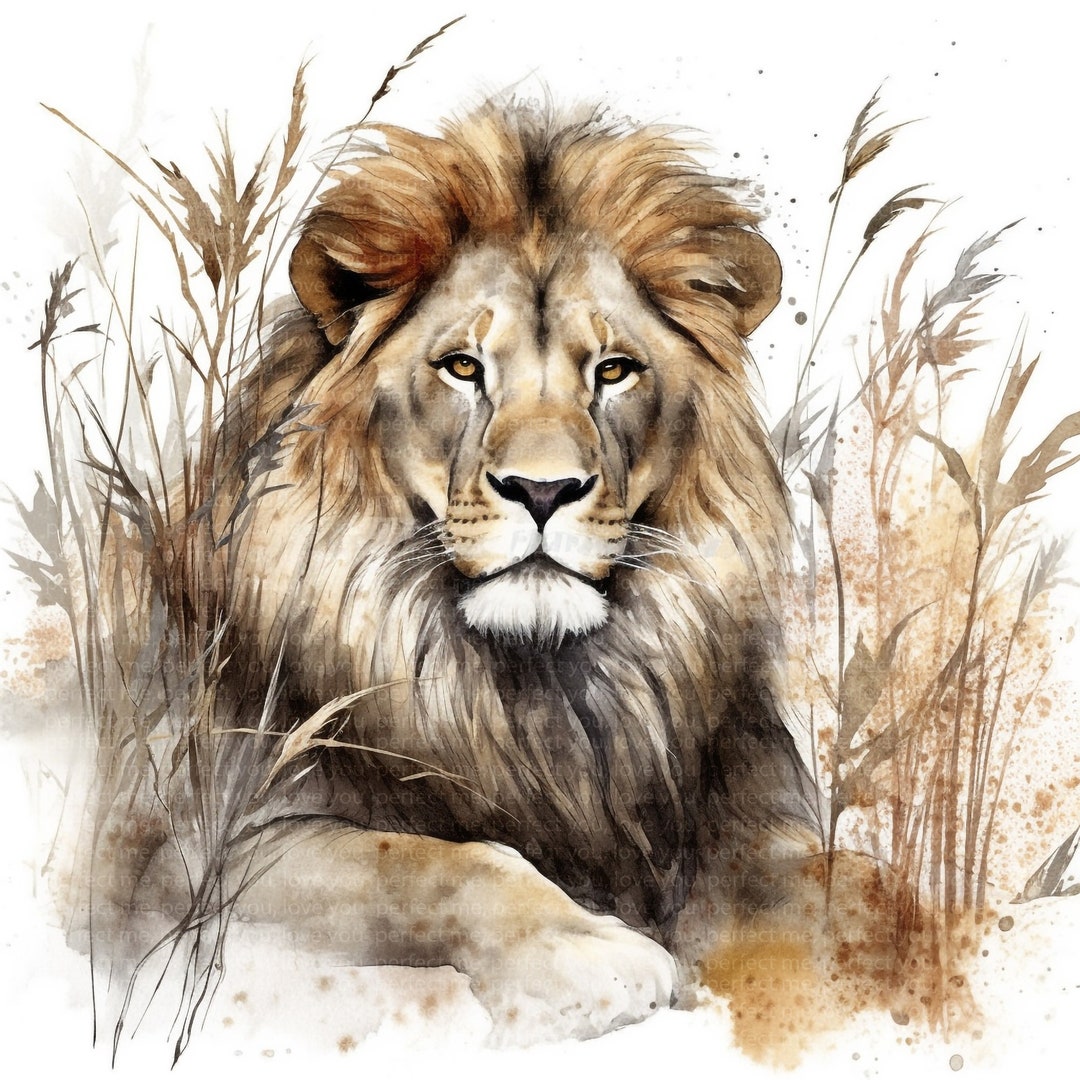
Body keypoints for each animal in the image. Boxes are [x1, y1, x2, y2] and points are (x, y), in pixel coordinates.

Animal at [121, 101, 820, 1045]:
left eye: (613, 371)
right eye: (462, 367)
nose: (543, 489)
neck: (542, 695)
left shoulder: (761, 823)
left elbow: (838, 886)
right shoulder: (191, 856)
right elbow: (430, 861)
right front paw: (592, 957)